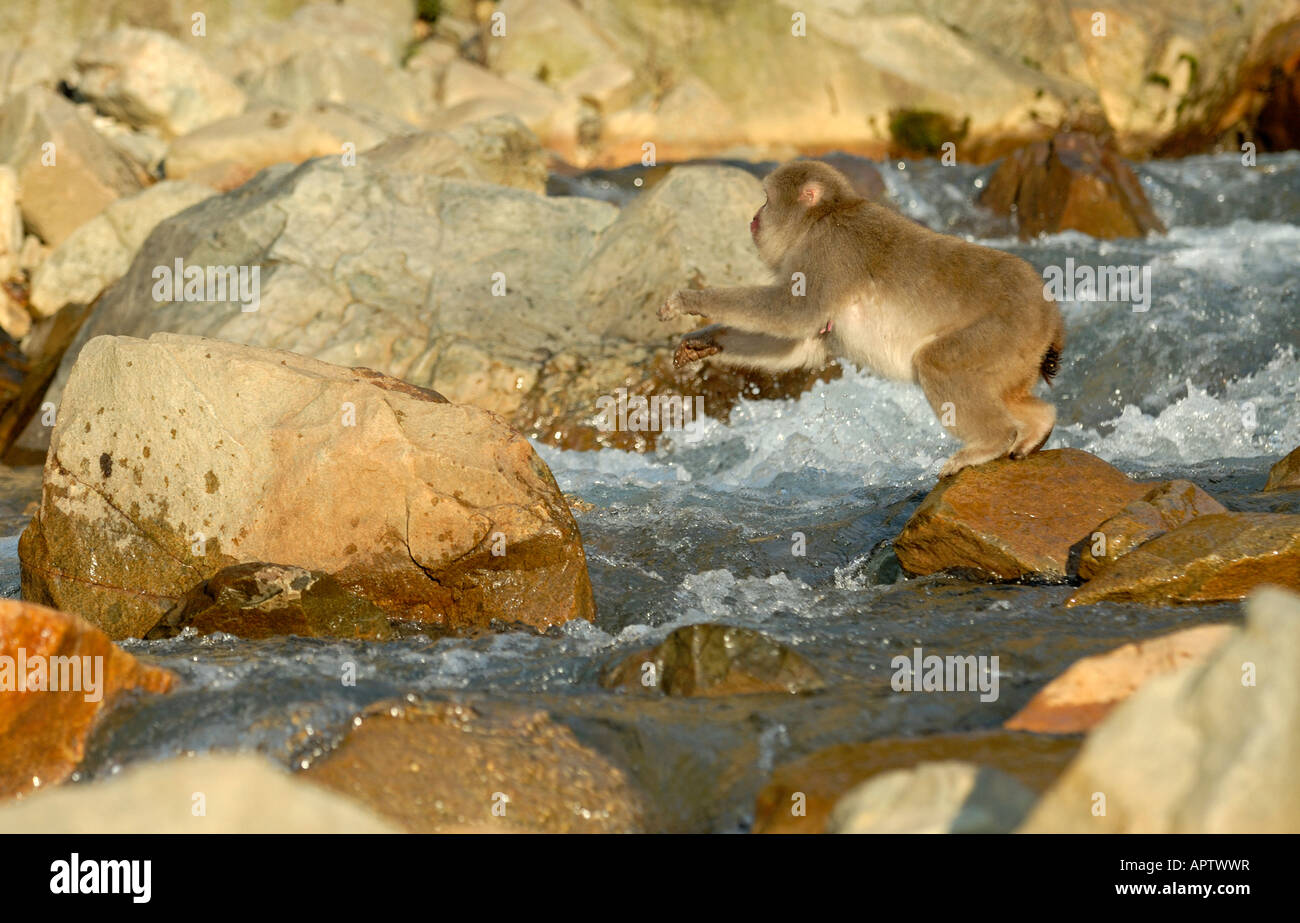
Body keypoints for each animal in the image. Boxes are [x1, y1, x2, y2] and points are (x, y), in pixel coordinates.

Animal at [659, 160, 1065, 478]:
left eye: (767, 199)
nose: (755, 217)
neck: (822, 217)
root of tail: (1049, 313)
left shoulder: (827, 251)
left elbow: (795, 314)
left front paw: (690, 300)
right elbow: (802, 347)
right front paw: (707, 341)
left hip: (1002, 332)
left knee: (936, 362)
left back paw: (989, 442)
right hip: (1017, 354)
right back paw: (1037, 426)